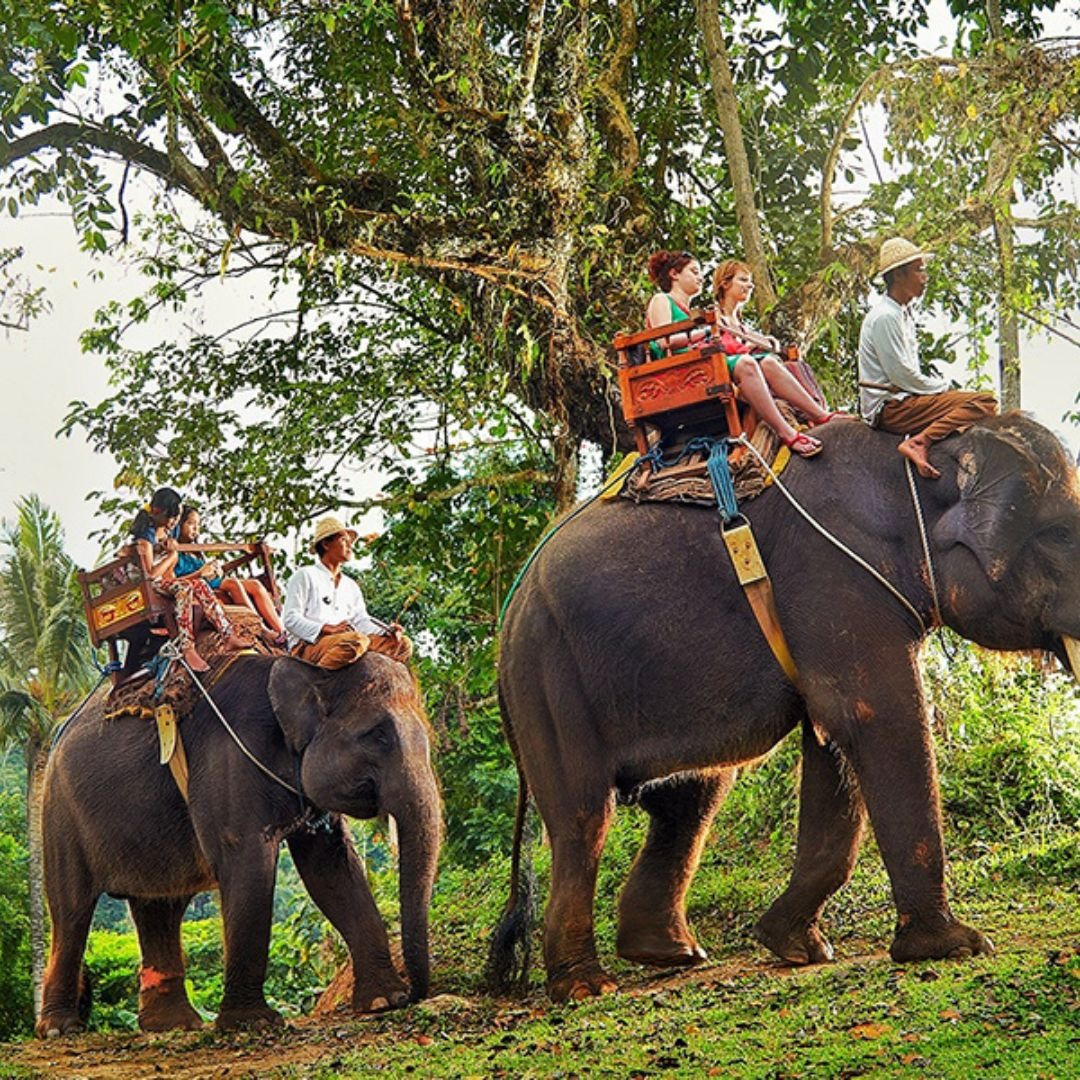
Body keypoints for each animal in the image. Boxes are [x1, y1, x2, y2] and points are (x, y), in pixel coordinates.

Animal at [36, 651, 441, 1036]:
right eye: (378, 735)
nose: (416, 993)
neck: (301, 668)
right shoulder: (229, 761)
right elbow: (248, 863)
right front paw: (253, 1022)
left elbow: (332, 868)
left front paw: (384, 1001)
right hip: (58, 814)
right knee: (72, 910)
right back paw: (60, 1028)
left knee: (160, 907)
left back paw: (174, 1025)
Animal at [489, 413, 1080, 1002]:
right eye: (1062, 537)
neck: (915, 464)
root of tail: (506, 622)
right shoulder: (832, 577)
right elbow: (874, 718)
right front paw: (956, 947)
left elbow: (832, 745)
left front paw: (796, 947)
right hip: (547, 677)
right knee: (584, 817)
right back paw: (586, 986)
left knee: (691, 799)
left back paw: (671, 953)